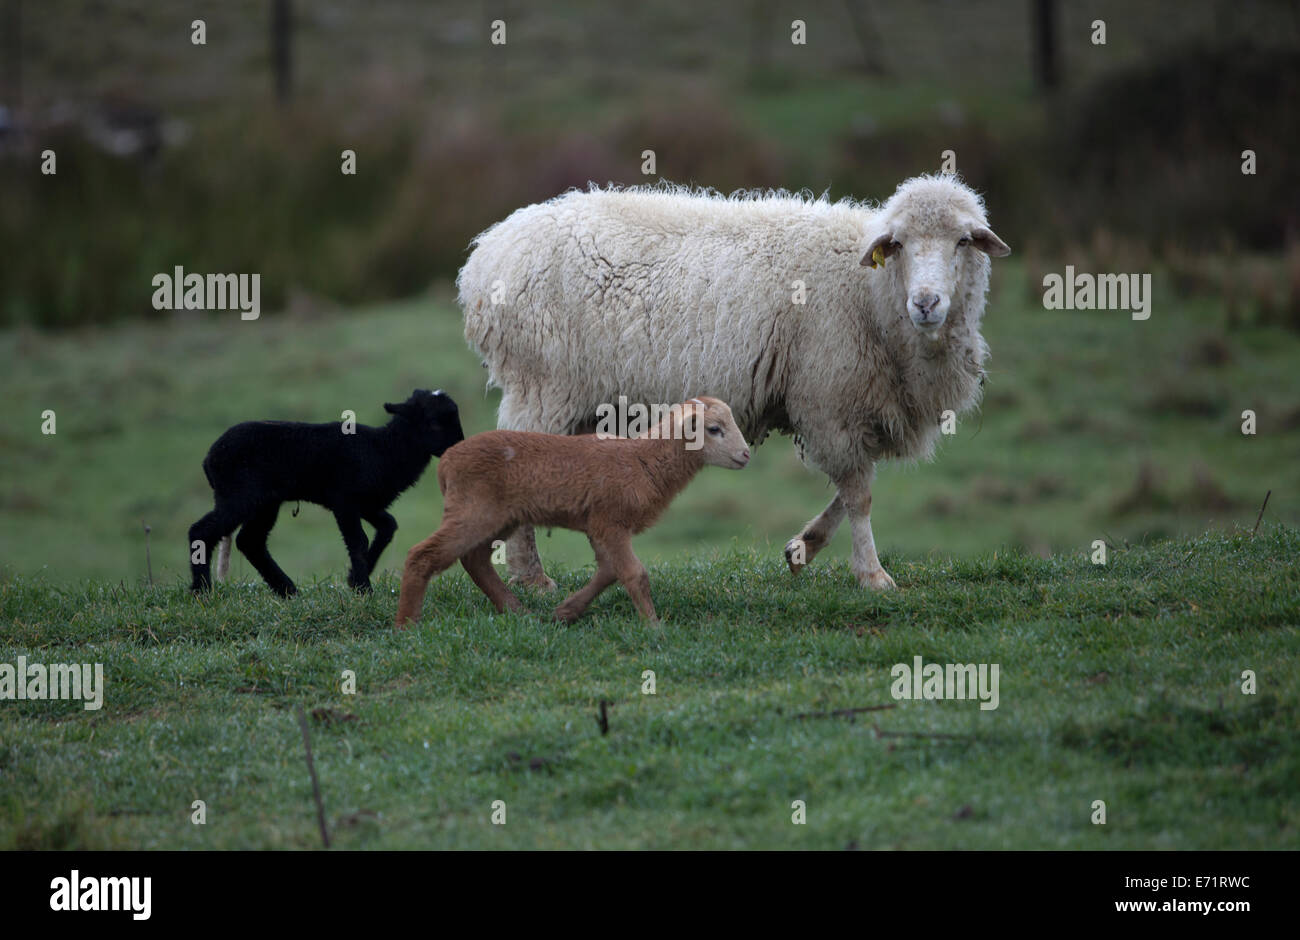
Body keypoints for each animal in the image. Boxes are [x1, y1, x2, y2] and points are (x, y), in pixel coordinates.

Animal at [189, 389, 464, 596]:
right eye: (435, 422)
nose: (461, 448)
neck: (384, 448)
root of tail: (208, 459)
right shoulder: (344, 500)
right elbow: (358, 541)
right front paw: (363, 589)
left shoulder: (367, 503)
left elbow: (388, 526)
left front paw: (354, 578)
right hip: (240, 496)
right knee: (202, 530)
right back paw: (202, 590)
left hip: (265, 502)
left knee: (250, 541)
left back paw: (288, 591)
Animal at [393, 396, 750, 627]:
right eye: (714, 429)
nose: (746, 454)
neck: (644, 460)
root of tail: (446, 464)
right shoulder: (611, 521)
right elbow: (634, 573)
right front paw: (653, 626)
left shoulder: (598, 524)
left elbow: (609, 571)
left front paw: (565, 612)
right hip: (473, 510)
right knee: (422, 555)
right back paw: (406, 625)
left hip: (500, 516)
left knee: (475, 559)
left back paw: (516, 611)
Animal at [458, 173, 1010, 592]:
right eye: (897, 245)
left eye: (963, 241)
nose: (926, 303)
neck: (869, 293)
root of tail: (488, 252)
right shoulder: (829, 400)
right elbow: (859, 495)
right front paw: (873, 576)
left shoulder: (857, 405)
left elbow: (856, 485)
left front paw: (803, 546)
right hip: (542, 387)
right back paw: (532, 579)